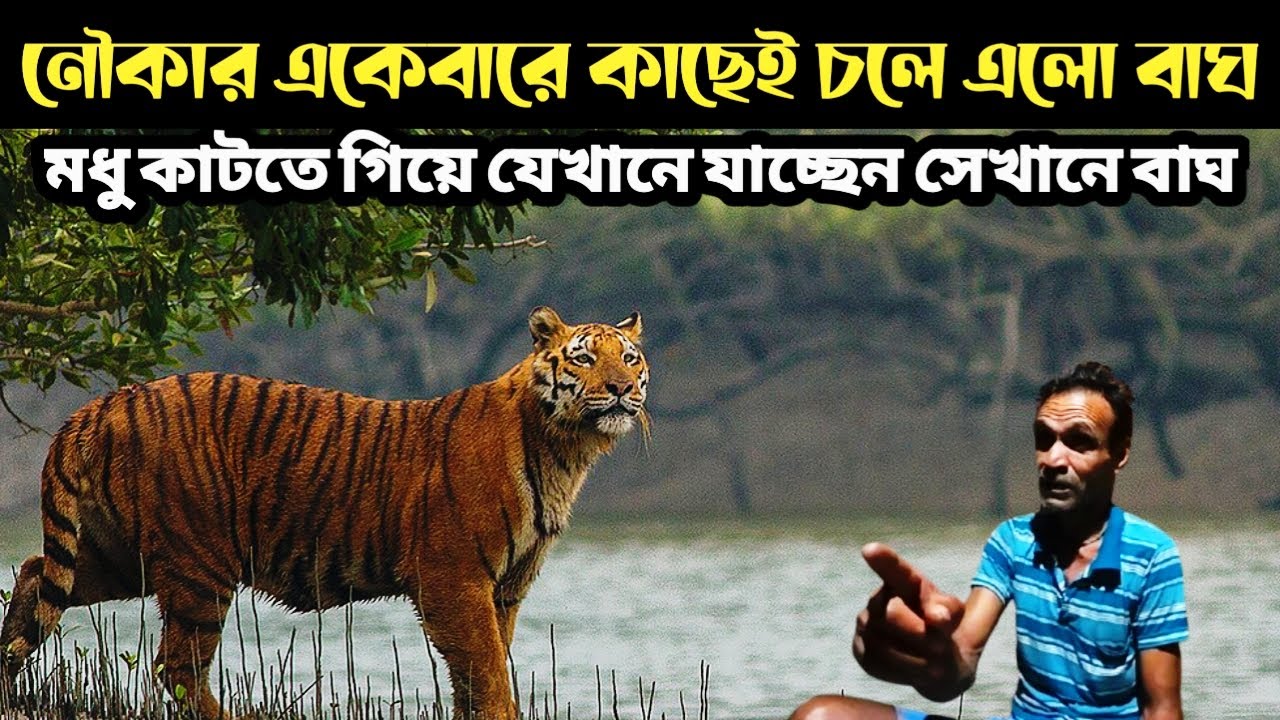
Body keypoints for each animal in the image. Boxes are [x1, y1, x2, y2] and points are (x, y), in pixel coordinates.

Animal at [0, 305, 650, 720]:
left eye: (630, 358)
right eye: (584, 359)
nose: (622, 389)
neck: (566, 449)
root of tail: (101, 404)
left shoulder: (505, 588)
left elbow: (480, 672)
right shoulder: (454, 579)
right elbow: (488, 672)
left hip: (120, 554)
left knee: (34, 574)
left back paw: (6, 672)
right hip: (198, 562)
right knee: (176, 668)